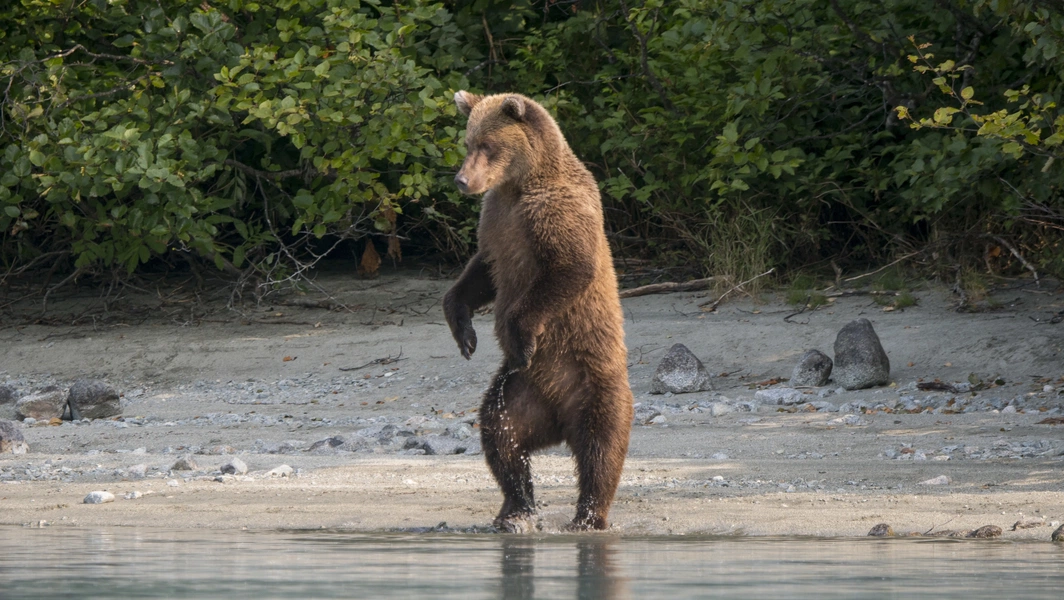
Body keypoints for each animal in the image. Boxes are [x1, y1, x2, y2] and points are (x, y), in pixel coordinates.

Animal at [442, 90, 634, 532]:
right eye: (467, 143)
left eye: (487, 145)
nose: (462, 180)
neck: (521, 184)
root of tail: (559, 421)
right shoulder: (498, 221)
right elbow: (482, 272)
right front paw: (465, 334)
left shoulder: (555, 212)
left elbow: (569, 268)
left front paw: (521, 336)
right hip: (518, 391)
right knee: (500, 434)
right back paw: (515, 509)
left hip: (593, 380)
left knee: (602, 447)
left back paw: (588, 516)